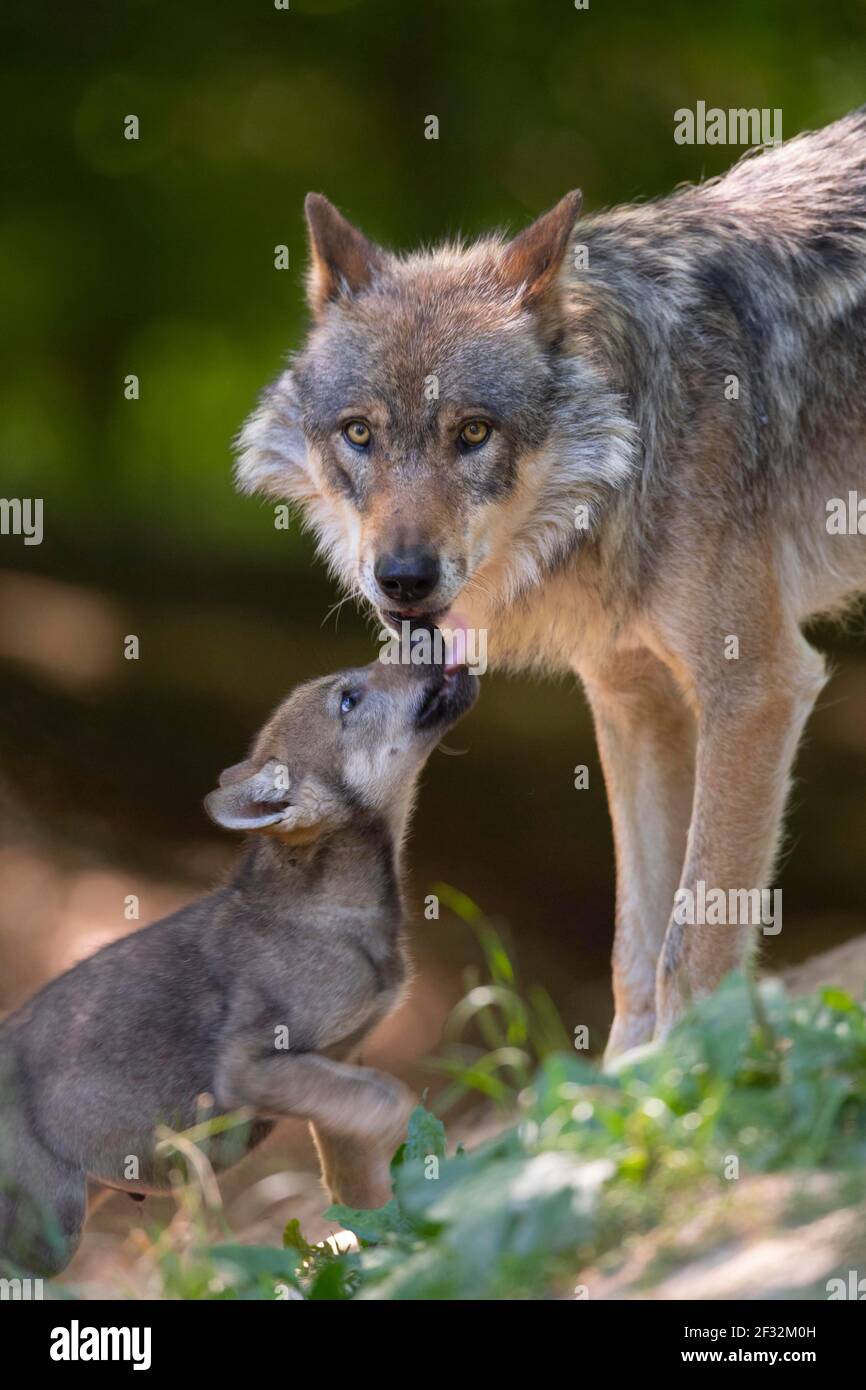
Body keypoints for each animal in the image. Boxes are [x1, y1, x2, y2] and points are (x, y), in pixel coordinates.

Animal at [0, 655, 477, 1275]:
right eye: (348, 700)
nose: (429, 642)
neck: (331, 908)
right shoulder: (253, 1067)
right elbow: (386, 1099)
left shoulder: (338, 1066)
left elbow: (357, 1183)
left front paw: (392, 1249)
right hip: (52, 1225)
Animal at [236, 108, 866, 1058]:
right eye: (359, 434)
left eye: (472, 432)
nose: (404, 578)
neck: (644, 434)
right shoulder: (633, 699)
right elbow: (633, 955)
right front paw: (627, 1075)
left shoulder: (757, 688)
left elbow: (690, 948)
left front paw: (686, 1078)